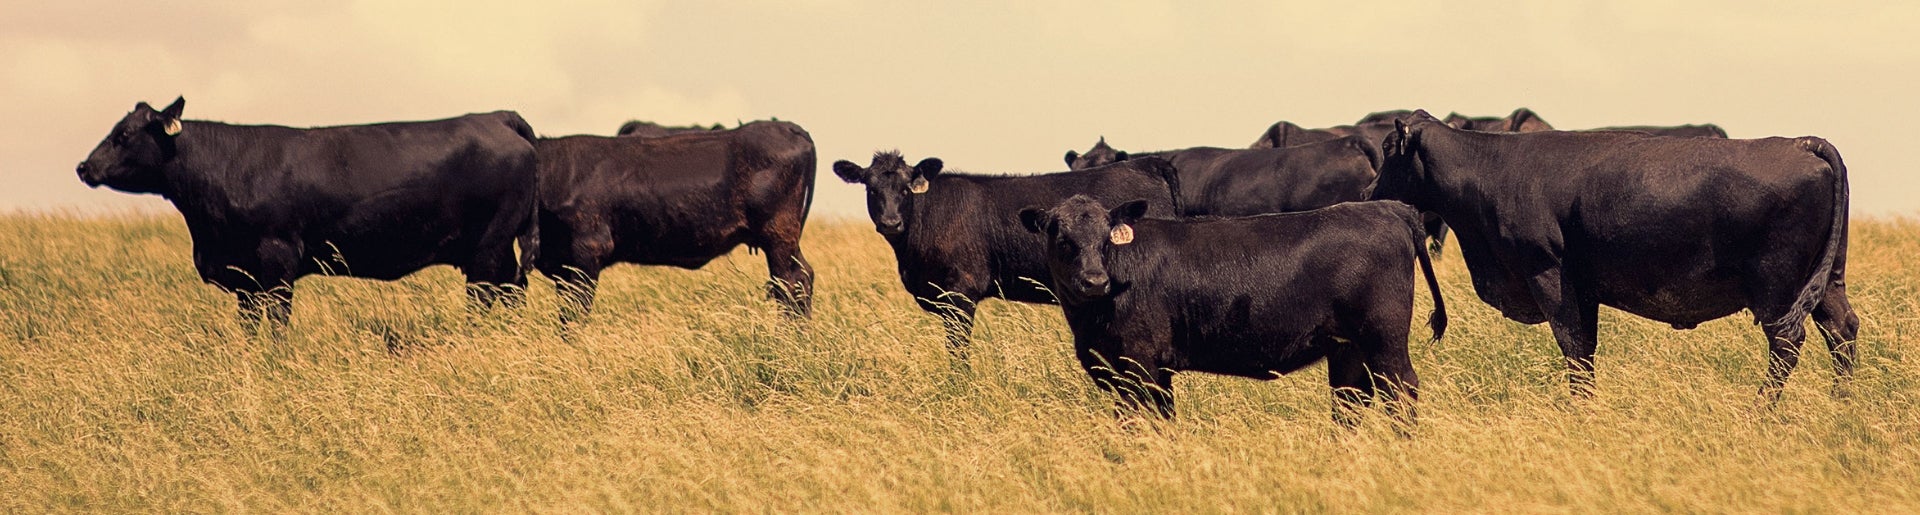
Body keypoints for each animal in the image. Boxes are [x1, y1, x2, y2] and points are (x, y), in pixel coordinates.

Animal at [75, 97, 539, 331]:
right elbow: (250, 327)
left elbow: (278, 323)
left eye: (124, 135)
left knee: (487, 299)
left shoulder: (277, 258)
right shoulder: (245, 278)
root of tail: (496, 117)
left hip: (489, 247)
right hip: (499, 250)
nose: (83, 167)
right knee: (513, 293)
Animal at [536, 120, 817, 325]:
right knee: (801, 277)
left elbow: (574, 314)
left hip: (778, 235)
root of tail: (789, 127)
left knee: (789, 282)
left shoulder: (587, 251)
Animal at [832, 151, 1180, 358]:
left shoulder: (960, 292)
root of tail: (1149, 162)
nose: (891, 222)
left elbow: (958, 351)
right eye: (871, 188)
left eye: (906, 189)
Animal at [1019, 196, 1445, 426]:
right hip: (1348, 347)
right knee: (1350, 401)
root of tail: (1389, 208)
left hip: (1384, 337)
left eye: (1107, 237)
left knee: (1401, 391)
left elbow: (1141, 421)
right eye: (1062, 238)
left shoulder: (1141, 364)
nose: (1094, 281)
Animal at [1370, 110, 1856, 401]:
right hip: (1826, 279)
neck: (1495, 169)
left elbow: (1573, 346)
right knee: (1842, 328)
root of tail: (1799, 143)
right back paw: (1842, 401)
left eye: (1388, 149)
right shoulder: (1583, 287)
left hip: (1777, 287)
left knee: (1787, 343)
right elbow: (1585, 348)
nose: (1369, 190)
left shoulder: (1548, 272)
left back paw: (1761, 409)